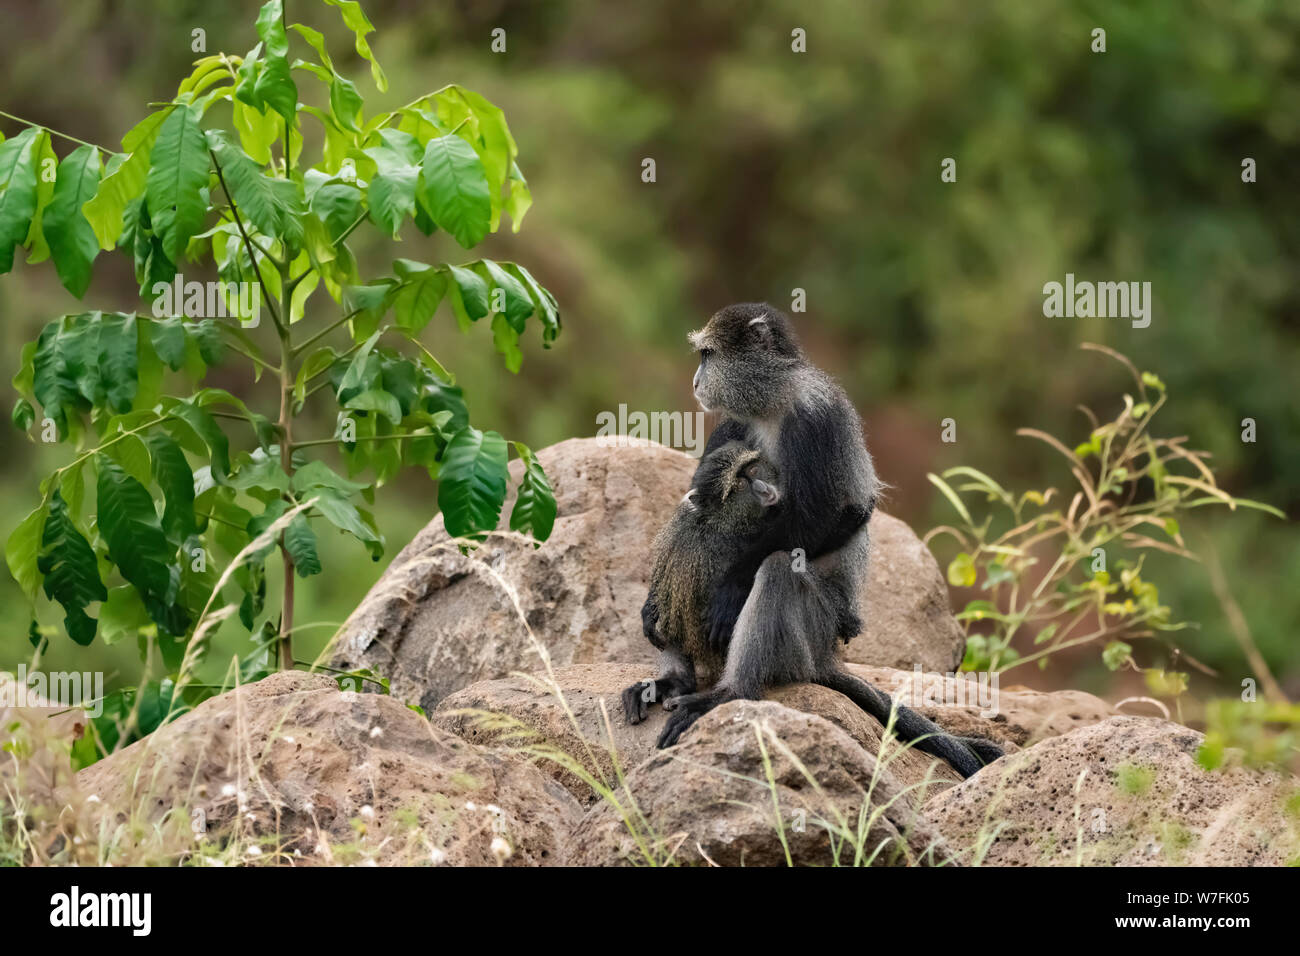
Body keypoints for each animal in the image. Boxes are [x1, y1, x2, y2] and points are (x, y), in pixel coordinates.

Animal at [632, 303, 1004, 775]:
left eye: (707, 355)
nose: (696, 382)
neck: (774, 401)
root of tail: (828, 656)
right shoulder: (735, 426)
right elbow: (698, 497)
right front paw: (653, 608)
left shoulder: (816, 417)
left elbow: (840, 513)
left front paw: (732, 587)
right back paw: (674, 681)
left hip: (813, 629)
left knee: (777, 567)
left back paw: (730, 691)